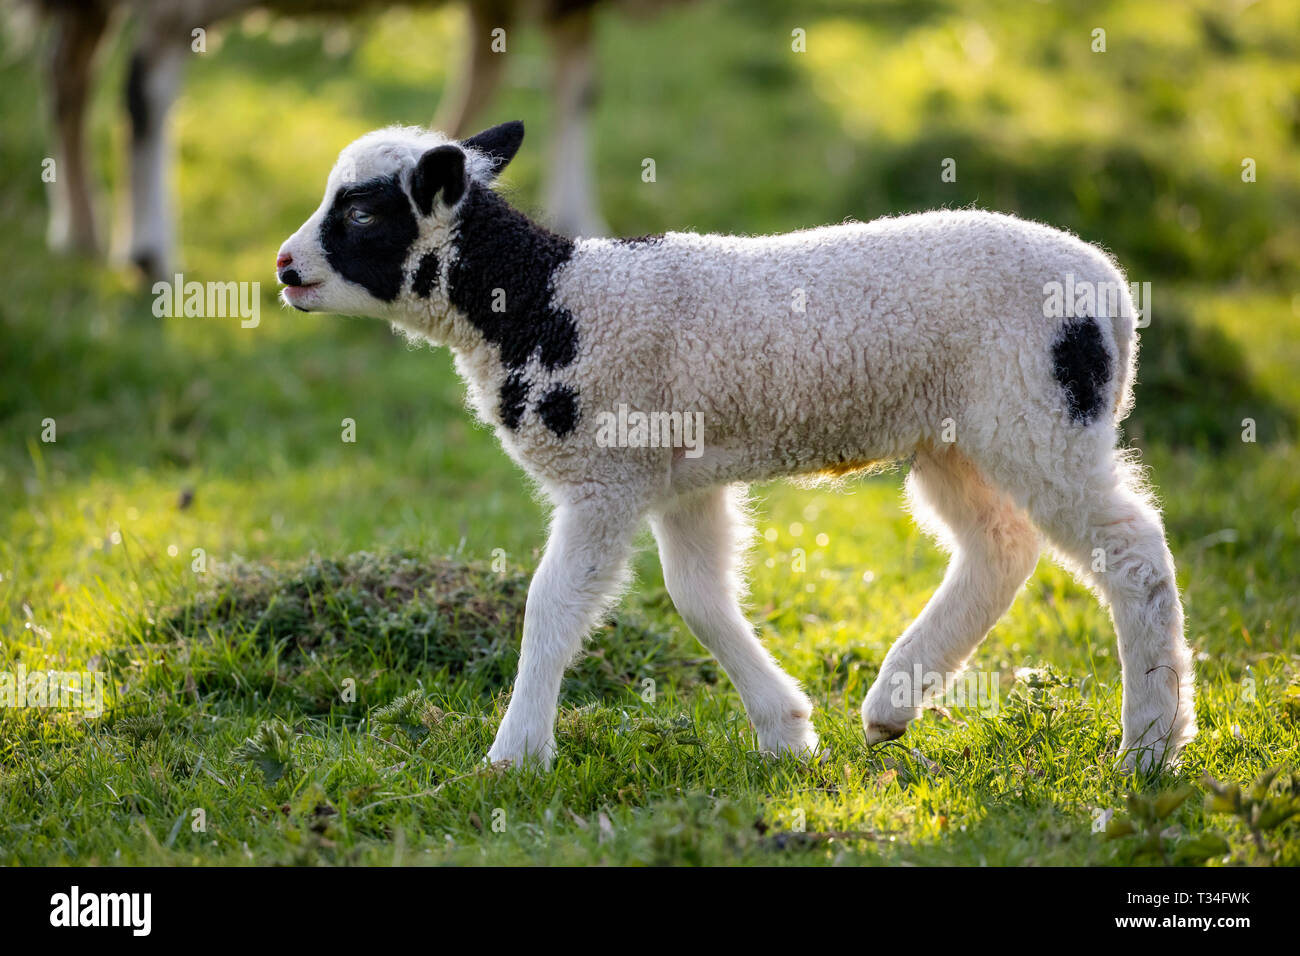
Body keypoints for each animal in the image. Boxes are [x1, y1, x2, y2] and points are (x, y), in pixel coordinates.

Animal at [276, 121, 1197, 773]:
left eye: (360, 211)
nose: (285, 267)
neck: (541, 302)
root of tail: (1114, 295)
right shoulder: (684, 480)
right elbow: (700, 599)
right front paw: (785, 732)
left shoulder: (606, 478)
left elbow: (553, 606)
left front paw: (514, 758)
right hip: (960, 438)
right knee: (1000, 546)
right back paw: (892, 704)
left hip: (1040, 417)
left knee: (1132, 552)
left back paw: (1149, 747)